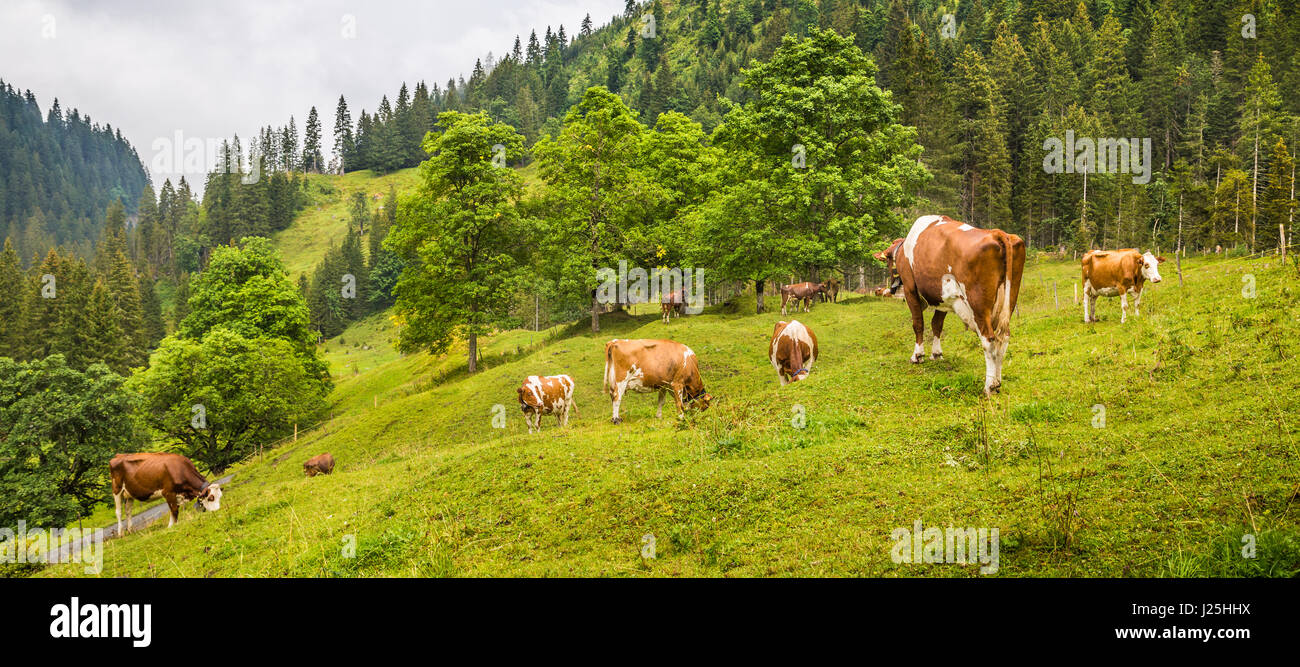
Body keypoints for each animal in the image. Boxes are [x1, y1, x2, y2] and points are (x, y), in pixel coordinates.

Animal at [874, 215, 1026, 395]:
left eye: (889, 262)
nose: (891, 287)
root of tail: (996, 233)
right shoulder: (943, 298)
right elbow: (937, 324)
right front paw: (936, 354)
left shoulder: (911, 290)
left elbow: (918, 324)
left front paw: (918, 356)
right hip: (1010, 301)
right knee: (1004, 338)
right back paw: (997, 382)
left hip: (978, 305)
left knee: (989, 340)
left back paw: (989, 385)